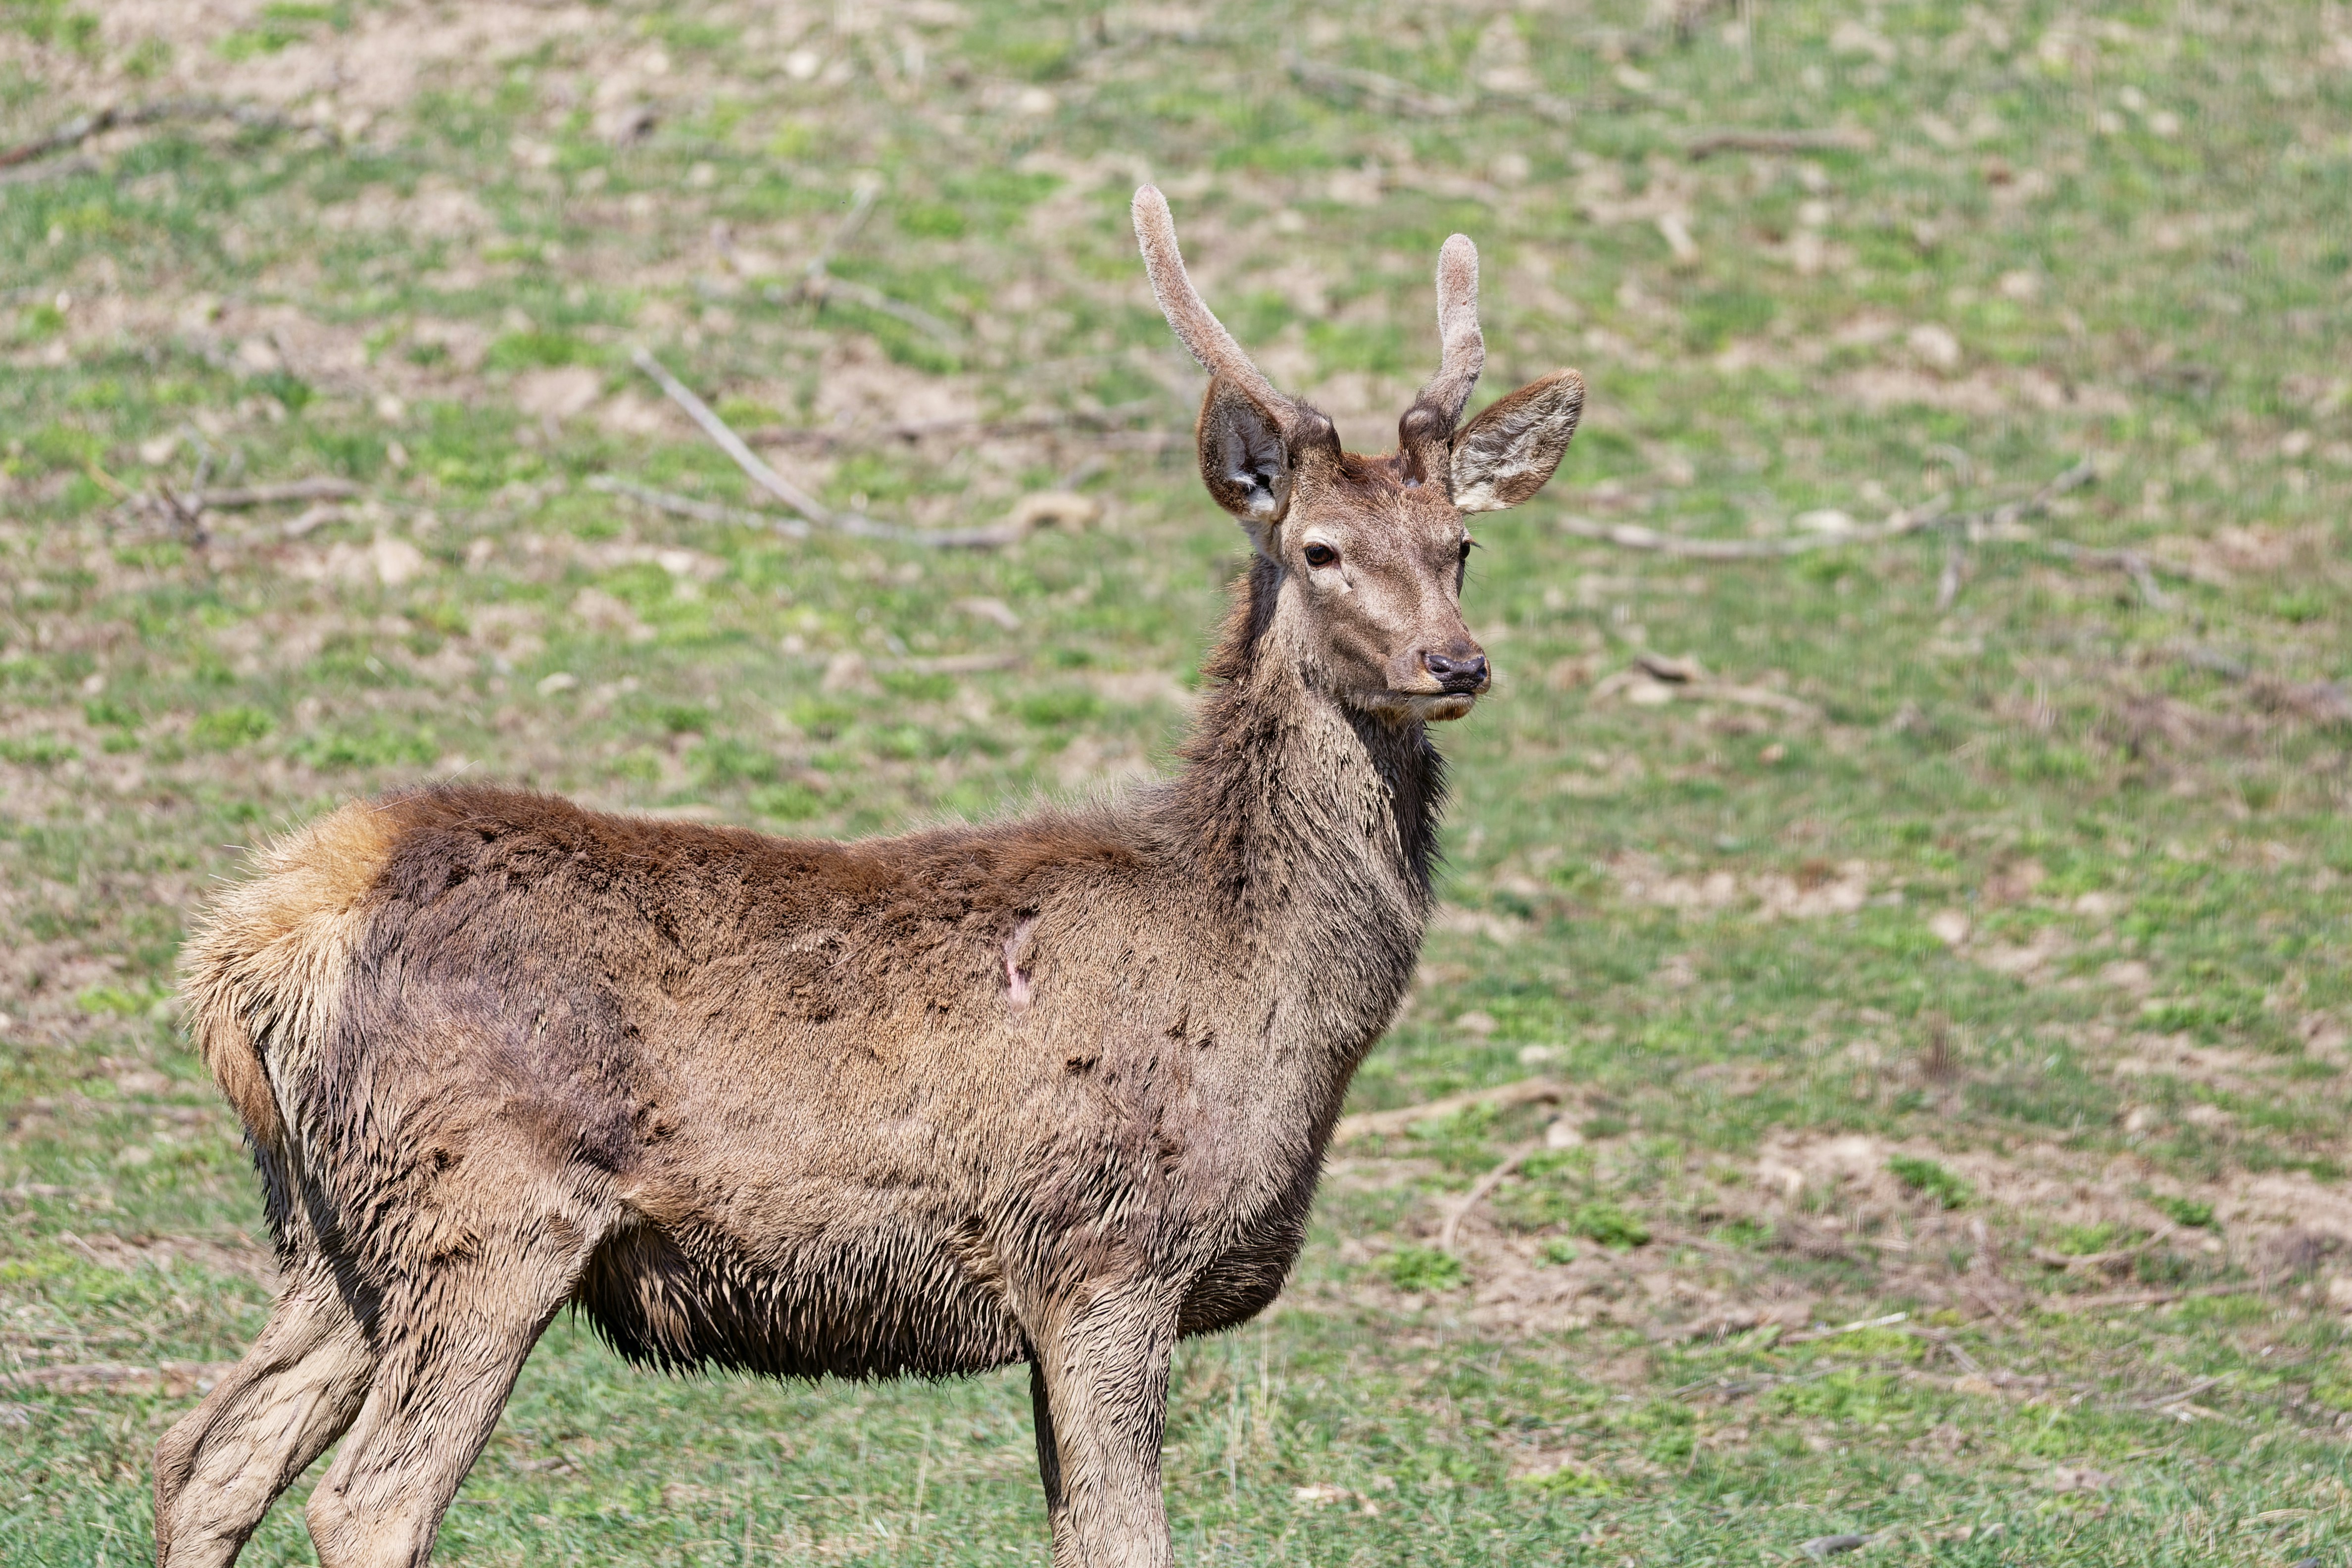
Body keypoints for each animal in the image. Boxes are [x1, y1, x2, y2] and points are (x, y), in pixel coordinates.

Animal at [154, 186, 1585, 1568]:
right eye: (1320, 549)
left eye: (1460, 544)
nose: (1454, 661)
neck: (1268, 986)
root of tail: (263, 932)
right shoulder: (1104, 1250)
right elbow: (1124, 1541)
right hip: (489, 1205)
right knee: (367, 1500)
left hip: (332, 1225)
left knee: (205, 1455)